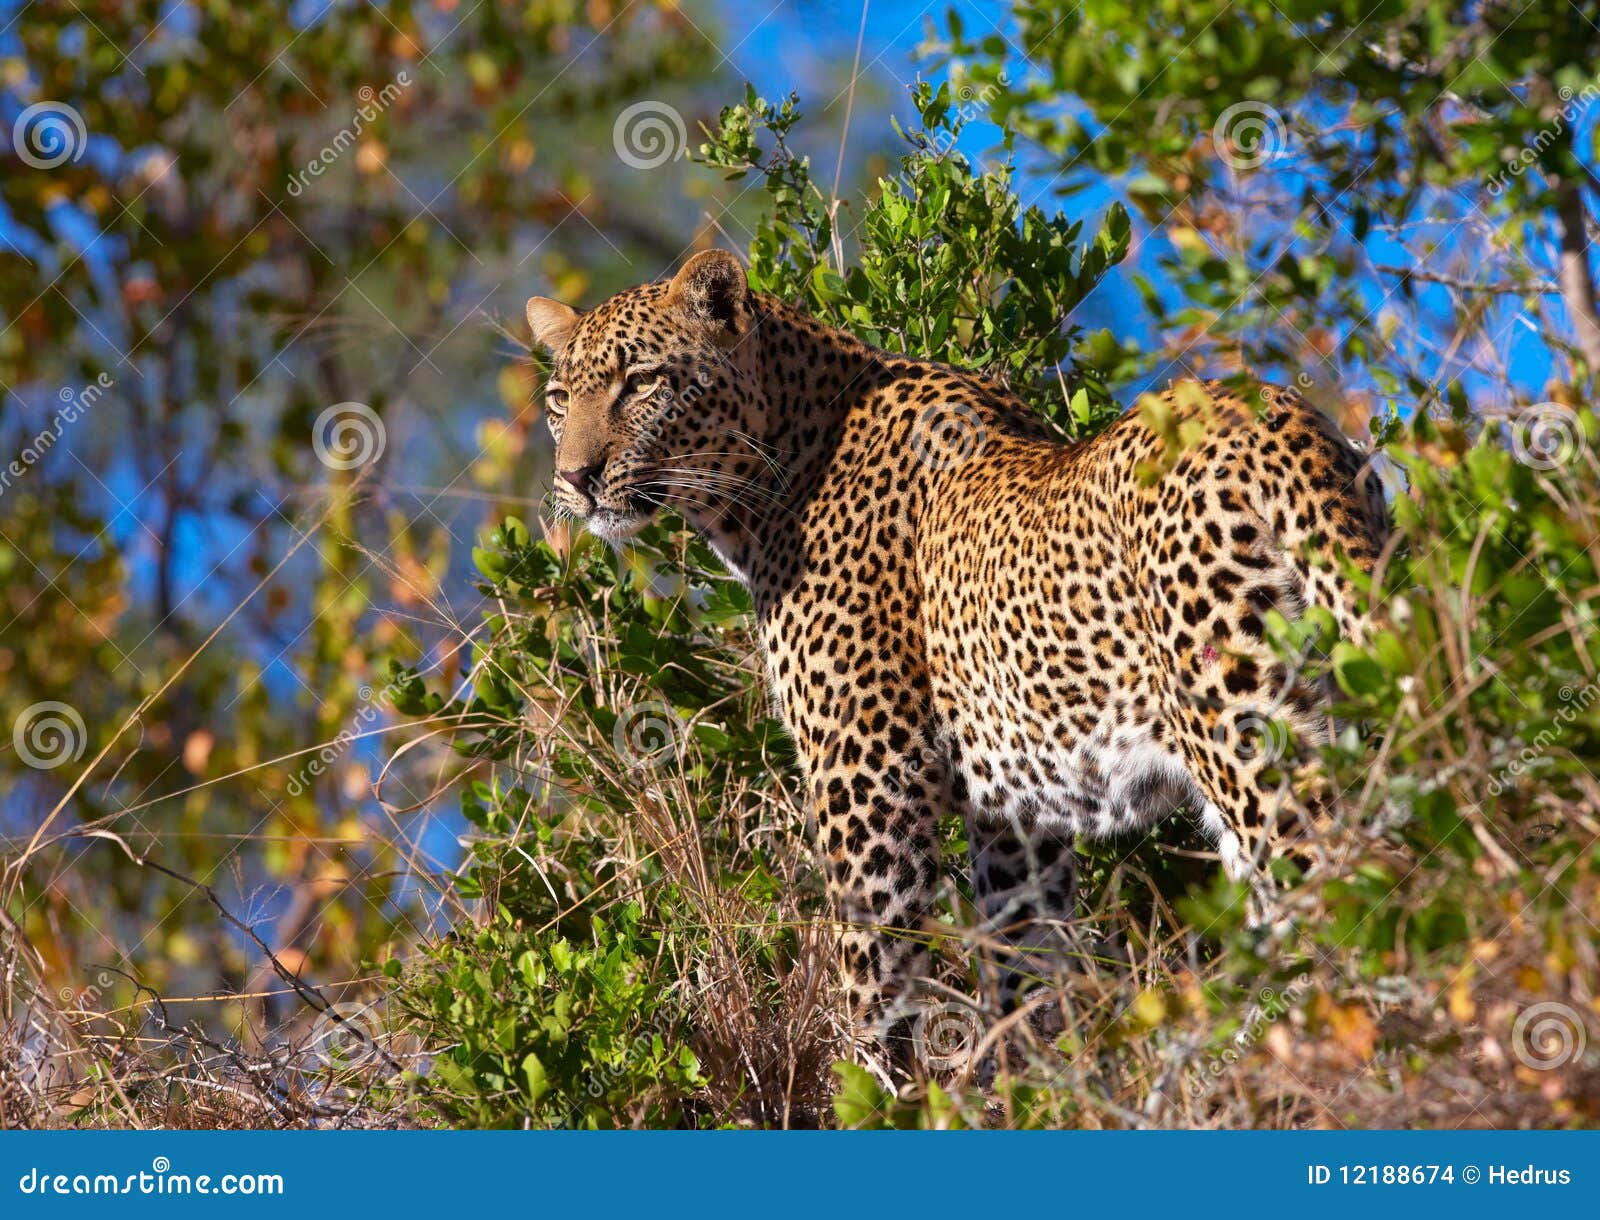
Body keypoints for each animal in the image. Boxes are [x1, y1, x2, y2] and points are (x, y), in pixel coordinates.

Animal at [525, 248, 1389, 1044]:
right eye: (560, 399)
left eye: (641, 381)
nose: (576, 479)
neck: (778, 464)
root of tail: (1275, 418)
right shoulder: (1017, 817)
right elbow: (1027, 976)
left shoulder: (867, 783)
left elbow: (876, 993)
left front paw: (884, 1096)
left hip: (1243, 735)